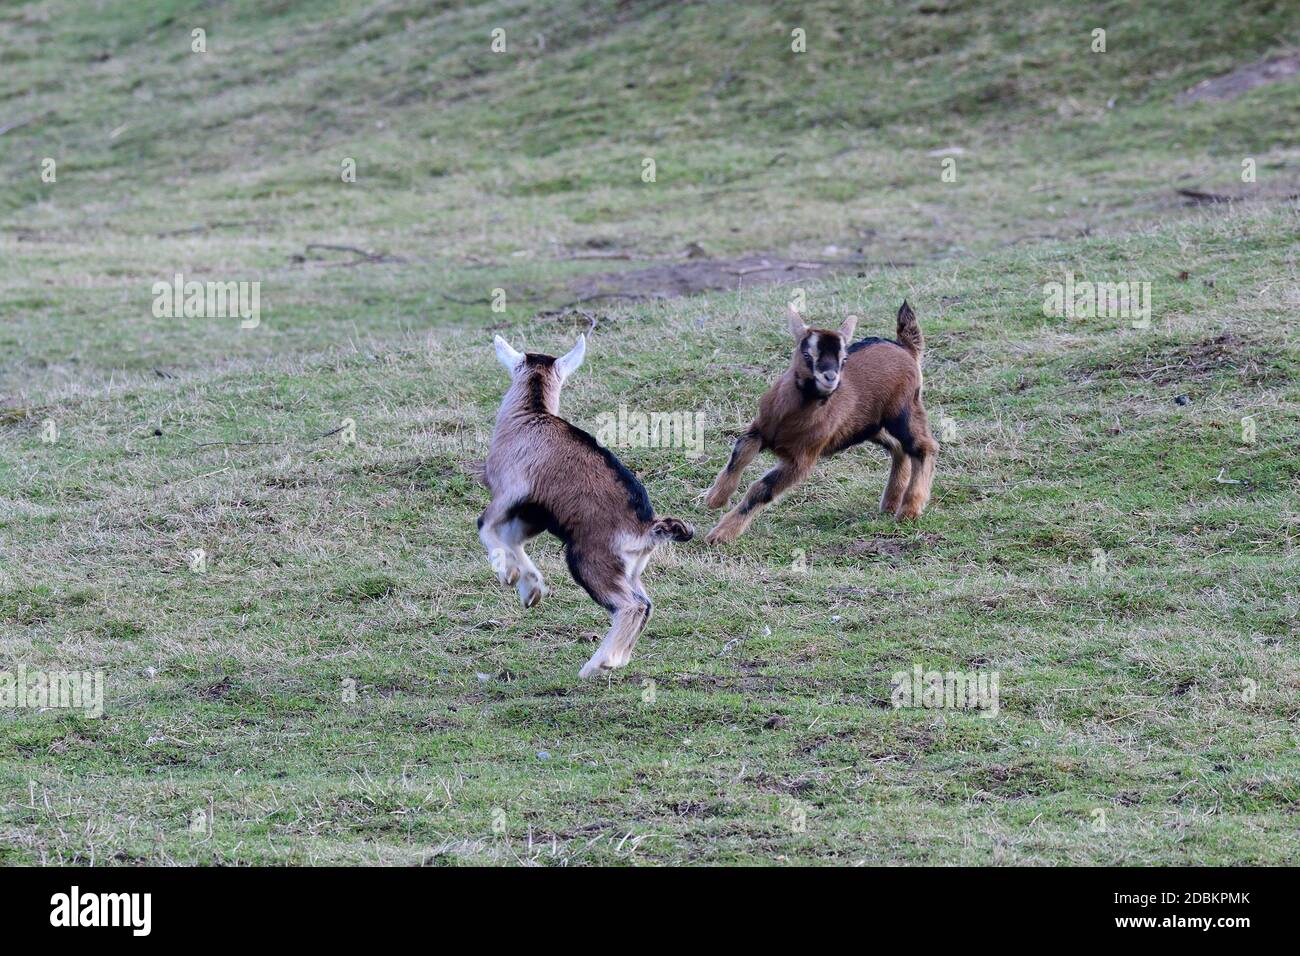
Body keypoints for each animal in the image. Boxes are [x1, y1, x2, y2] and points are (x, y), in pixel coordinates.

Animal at [480, 334, 694, 678]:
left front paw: (509, 575)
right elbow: (513, 541)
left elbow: (486, 527)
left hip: (588, 562)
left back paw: (596, 665)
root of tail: (647, 528)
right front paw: (531, 591)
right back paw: (616, 659)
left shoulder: (509, 494)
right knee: (646, 604)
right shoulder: (533, 515)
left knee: (631, 606)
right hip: (630, 571)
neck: (530, 417)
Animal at [704, 301, 937, 544]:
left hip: (903, 411)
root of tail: (905, 348)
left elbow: (761, 489)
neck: (792, 414)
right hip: (866, 426)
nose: (830, 378)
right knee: (899, 447)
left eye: (844, 359)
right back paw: (890, 503)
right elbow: (739, 455)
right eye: (807, 354)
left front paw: (720, 535)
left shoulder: (801, 459)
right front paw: (715, 499)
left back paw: (909, 510)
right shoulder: (760, 429)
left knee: (924, 447)